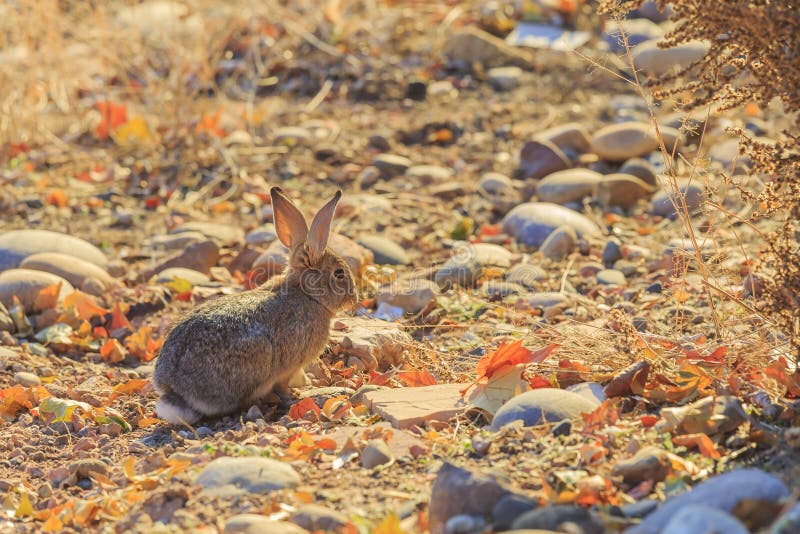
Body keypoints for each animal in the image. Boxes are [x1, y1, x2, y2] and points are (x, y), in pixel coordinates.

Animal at [153, 187, 358, 425]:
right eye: (339, 273)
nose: (354, 299)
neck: (307, 293)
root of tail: (175, 391)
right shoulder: (290, 366)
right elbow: (284, 385)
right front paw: (296, 393)